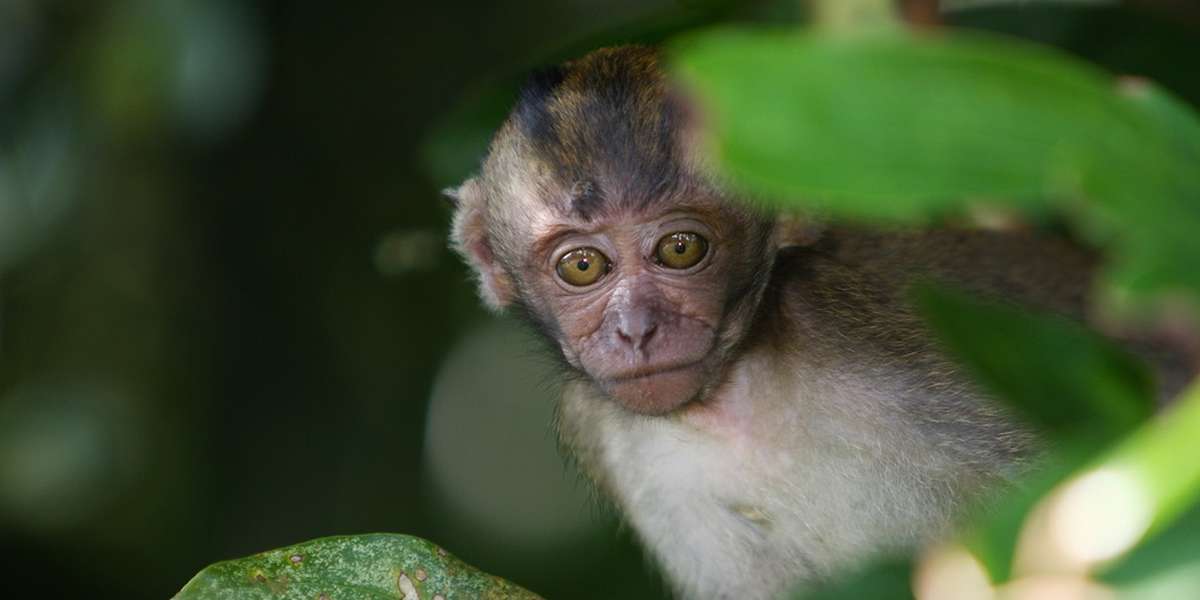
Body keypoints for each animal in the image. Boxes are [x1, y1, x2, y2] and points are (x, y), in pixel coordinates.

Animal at [444, 46, 1182, 599]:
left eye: (680, 249)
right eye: (582, 266)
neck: (735, 393)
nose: (635, 330)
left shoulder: (867, 324)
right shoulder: (610, 436)